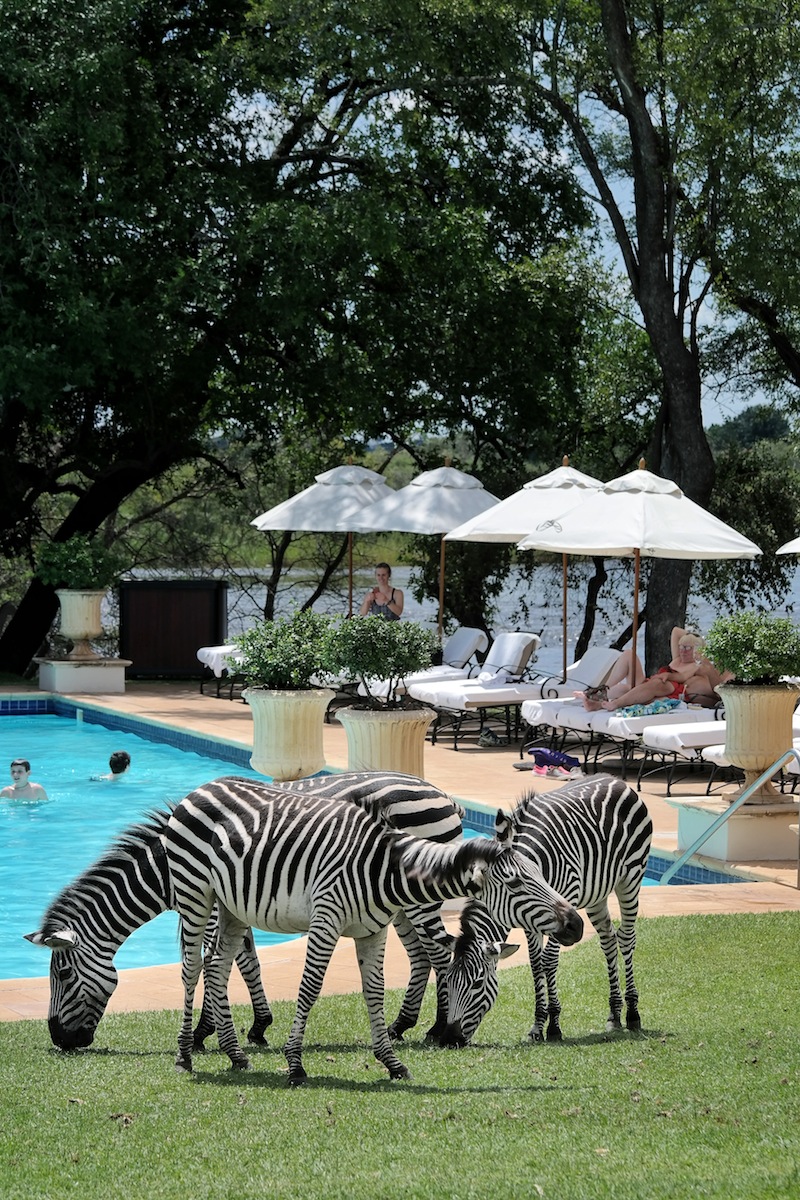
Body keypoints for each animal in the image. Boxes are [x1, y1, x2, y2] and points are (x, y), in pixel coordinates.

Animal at [23, 772, 465, 1053]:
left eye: (63, 975)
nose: (59, 1040)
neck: (166, 866)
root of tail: (443, 794)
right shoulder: (237, 899)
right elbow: (246, 960)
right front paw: (256, 1026)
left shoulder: (208, 904)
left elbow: (210, 962)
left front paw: (204, 1032)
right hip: (396, 898)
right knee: (420, 955)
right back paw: (402, 1025)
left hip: (417, 897)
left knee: (441, 953)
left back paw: (441, 1030)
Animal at [164, 776, 584, 1084]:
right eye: (514, 883)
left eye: (539, 873)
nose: (576, 924)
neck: (382, 869)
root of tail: (201, 788)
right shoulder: (326, 919)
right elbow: (310, 988)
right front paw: (295, 1063)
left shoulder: (373, 931)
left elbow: (375, 992)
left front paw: (391, 1062)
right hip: (195, 892)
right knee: (192, 968)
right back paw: (184, 1054)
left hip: (231, 905)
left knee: (217, 966)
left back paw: (235, 1055)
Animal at [440, 774, 652, 1047]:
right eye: (447, 980)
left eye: (477, 984)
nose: (449, 1039)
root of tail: (615, 780)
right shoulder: (530, 919)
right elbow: (536, 964)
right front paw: (538, 1025)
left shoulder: (566, 902)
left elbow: (549, 962)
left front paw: (554, 1026)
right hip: (597, 894)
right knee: (608, 941)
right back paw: (614, 1014)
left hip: (631, 879)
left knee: (626, 939)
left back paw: (633, 1013)